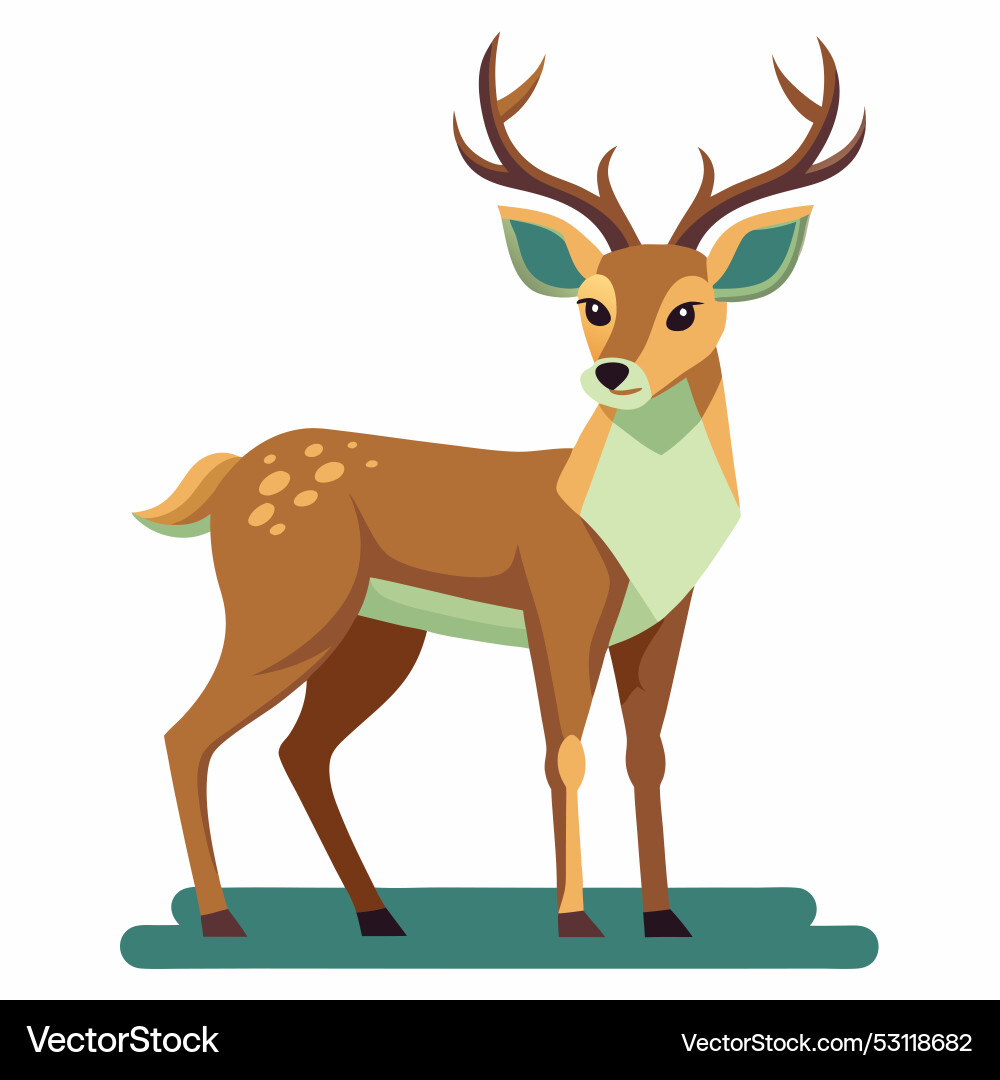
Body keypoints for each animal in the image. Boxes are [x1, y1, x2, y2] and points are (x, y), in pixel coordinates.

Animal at [134, 36, 864, 939]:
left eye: (688, 310)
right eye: (592, 303)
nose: (612, 373)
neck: (635, 528)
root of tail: (233, 473)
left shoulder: (662, 621)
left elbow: (648, 755)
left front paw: (665, 918)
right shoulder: (559, 600)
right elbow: (566, 753)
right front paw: (575, 919)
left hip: (376, 633)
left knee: (299, 749)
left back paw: (377, 916)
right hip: (285, 605)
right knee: (188, 733)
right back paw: (219, 918)